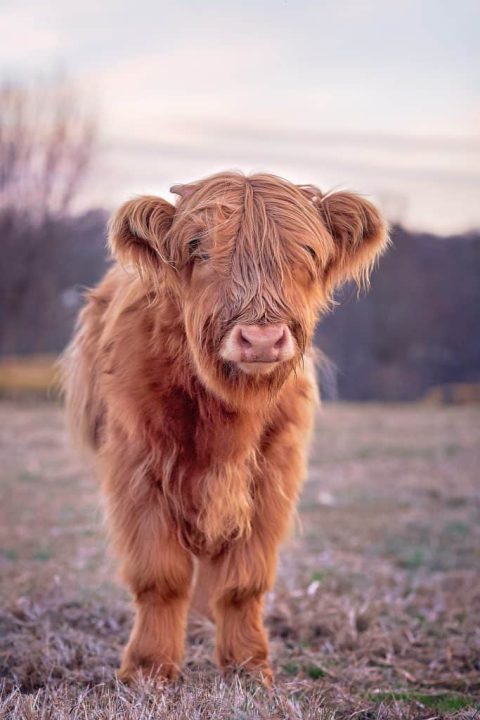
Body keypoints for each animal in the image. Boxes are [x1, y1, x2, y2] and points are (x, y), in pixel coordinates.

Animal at [62, 171, 388, 684]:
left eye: (308, 250)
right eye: (197, 247)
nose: (262, 339)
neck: (227, 414)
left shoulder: (272, 477)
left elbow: (243, 580)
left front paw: (249, 666)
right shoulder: (137, 472)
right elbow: (160, 576)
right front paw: (149, 668)